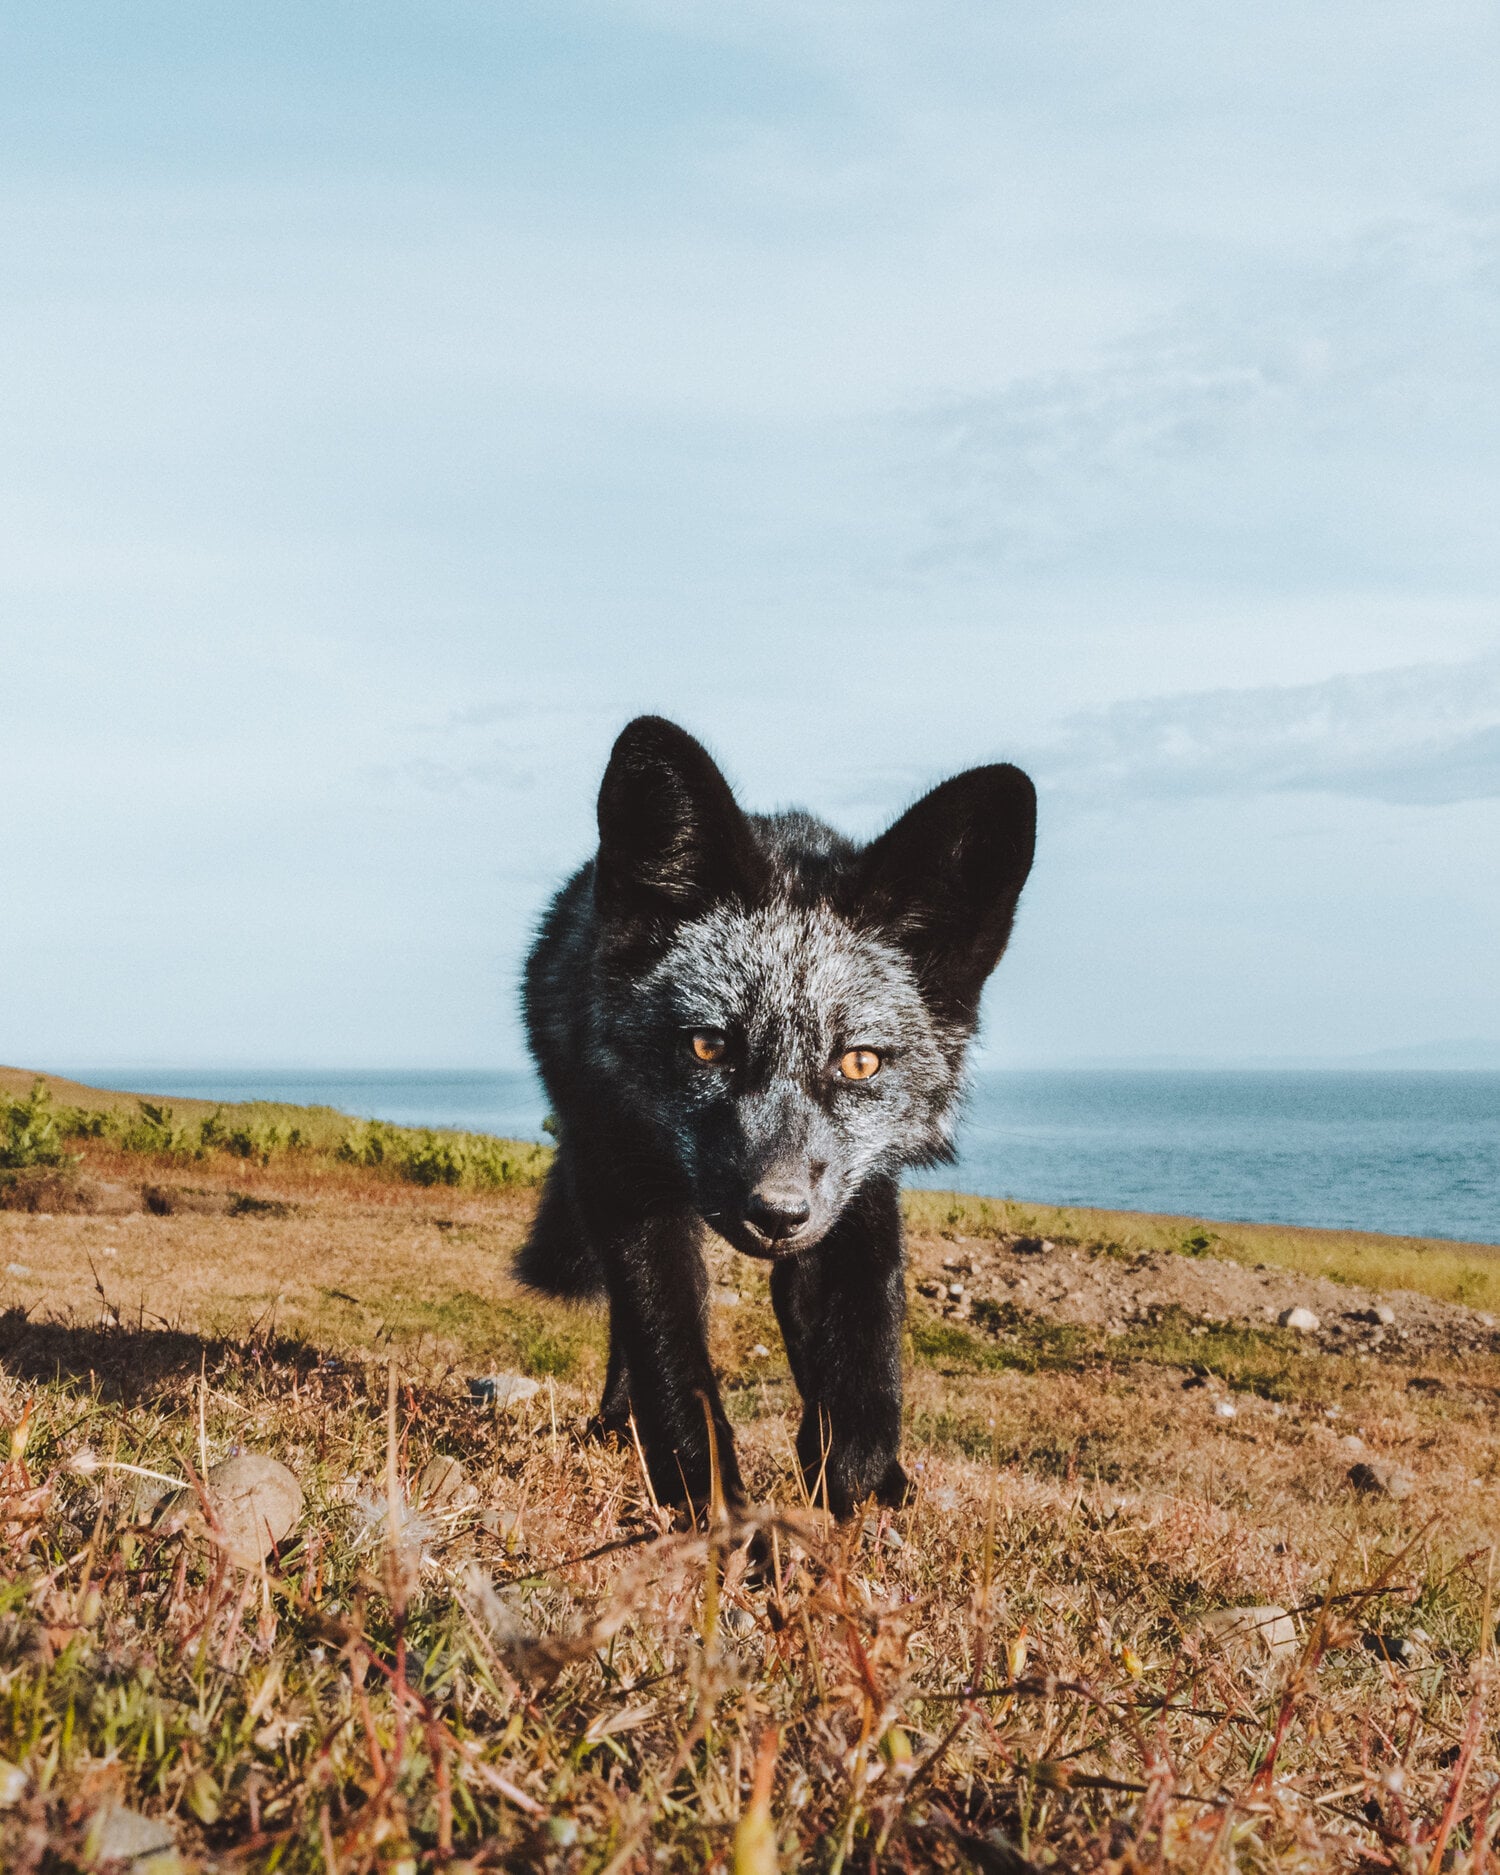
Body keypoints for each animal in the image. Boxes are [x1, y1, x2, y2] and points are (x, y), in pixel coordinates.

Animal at [518, 716, 1036, 1520]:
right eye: (708, 1046)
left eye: (859, 1063)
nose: (776, 1213)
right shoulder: (625, 1174)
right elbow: (668, 1354)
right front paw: (709, 1500)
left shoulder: (857, 1190)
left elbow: (867, 1333)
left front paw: (855, 1469)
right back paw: (615, 1420)